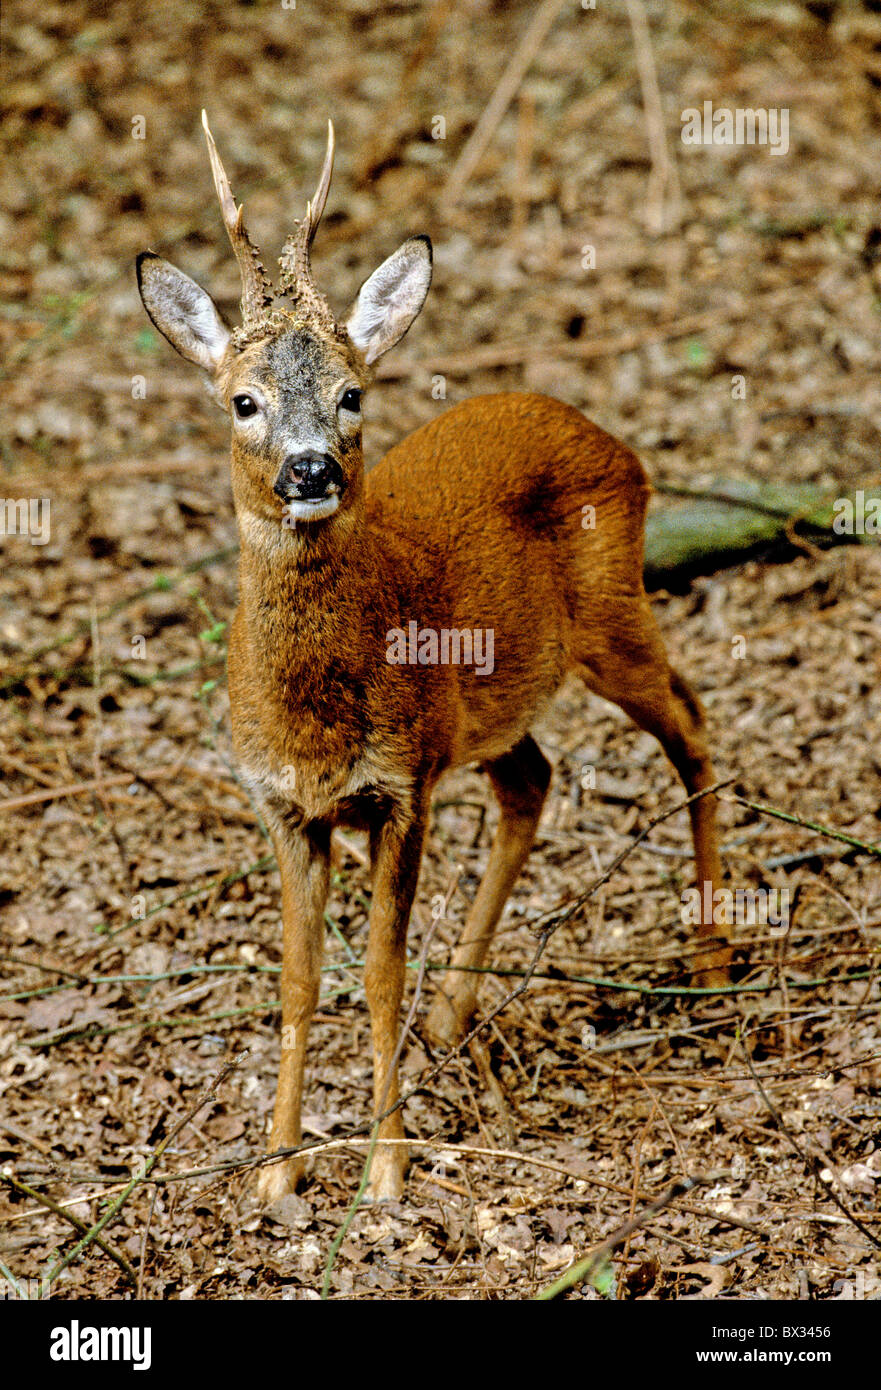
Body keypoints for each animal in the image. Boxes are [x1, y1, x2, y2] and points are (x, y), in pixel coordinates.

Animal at [136, 115, 730, 1204]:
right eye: (242, 401)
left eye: (350, 394)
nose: (310, 469)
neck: (314, 718)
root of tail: (612, 439)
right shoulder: (283, 803)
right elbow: (295, 977)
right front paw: (276, 1172)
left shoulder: (399, 787)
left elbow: (377, 971)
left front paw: (383, 1168)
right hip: (493, 702)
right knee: (533, 779)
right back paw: (457, 1012)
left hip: (609, 620)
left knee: (693, 724)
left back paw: (712, 957)